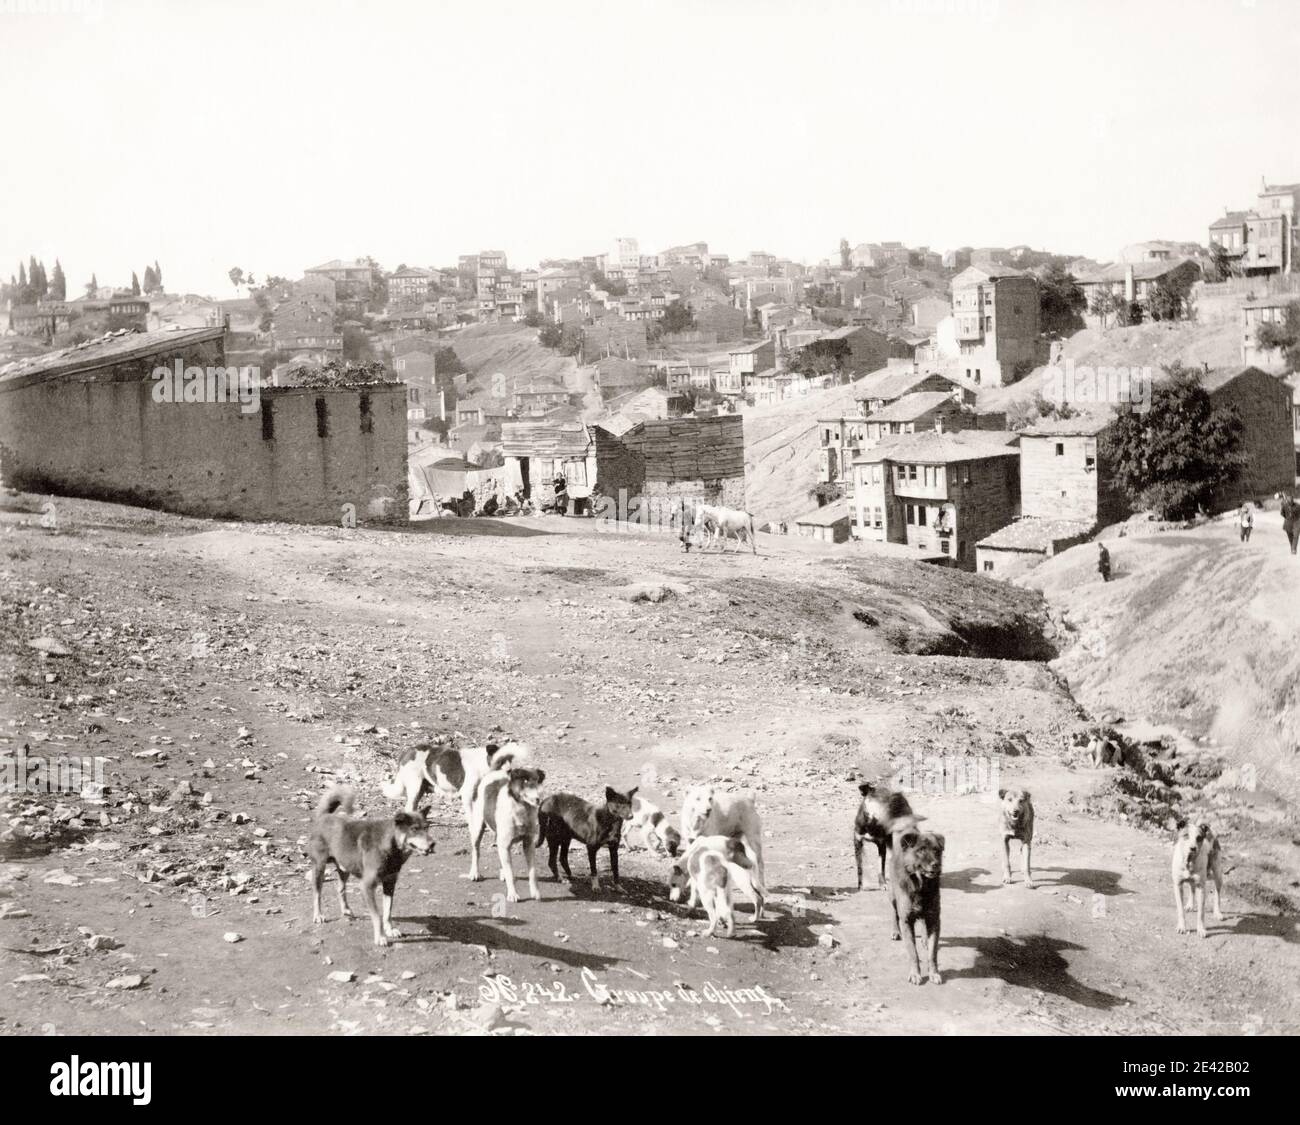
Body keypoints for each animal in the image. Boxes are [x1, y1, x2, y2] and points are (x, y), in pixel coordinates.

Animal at [306, 785, 434, 941]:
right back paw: (318, 915)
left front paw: (390, 930)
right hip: (319, 867)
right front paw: (380, 937)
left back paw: (346, 910)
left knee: (340, 888)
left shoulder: (390, 883)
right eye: (414, 829)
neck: (389, 845)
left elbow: (387, 912)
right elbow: (377, 916)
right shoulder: (367, 886)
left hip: (344, 868)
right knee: (317, 893)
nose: (433, 844)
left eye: (427, 827)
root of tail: (324, 816)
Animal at [470, 759, 546, 900]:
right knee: (476, 850)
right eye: (525, 781)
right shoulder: (505, 846)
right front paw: (513, 894)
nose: (539, 799)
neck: (521, 809)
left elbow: (532, 872)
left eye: (538, 781)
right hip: (478, 828)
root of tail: (493, 772)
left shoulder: (529, 844)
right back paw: (474, 873)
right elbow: (510, 873)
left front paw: (535, 893)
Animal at [883, 816, 946, 983]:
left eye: (936, 850)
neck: (921, 886)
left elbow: (932, 953)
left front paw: (934, 973)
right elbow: (913, 953)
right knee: (894, 913)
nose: (936, 865)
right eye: (921, 850)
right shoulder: (906, 921)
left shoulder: (934, 919)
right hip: (893, 896)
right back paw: (895, 931)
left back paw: (924, 937)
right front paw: (915, 974)